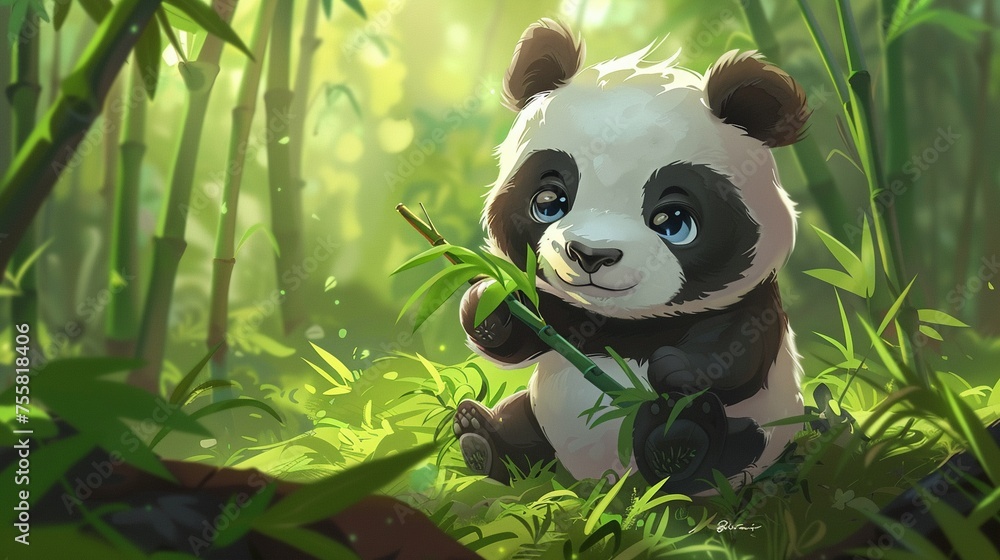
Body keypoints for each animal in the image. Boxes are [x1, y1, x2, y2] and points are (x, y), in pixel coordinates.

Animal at [453, 18, 806, 495]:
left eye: (674, 221)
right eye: (549, 202)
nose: (591, 255)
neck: (627, 325)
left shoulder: (751, 303)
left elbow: (737, 353)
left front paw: (674, 368)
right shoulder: (569, 312)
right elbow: (527, 335)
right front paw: (492, 306)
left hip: (758, 439)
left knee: (722, 451)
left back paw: (676, 440)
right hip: (543, 422)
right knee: (525, 430)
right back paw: (481, 437)